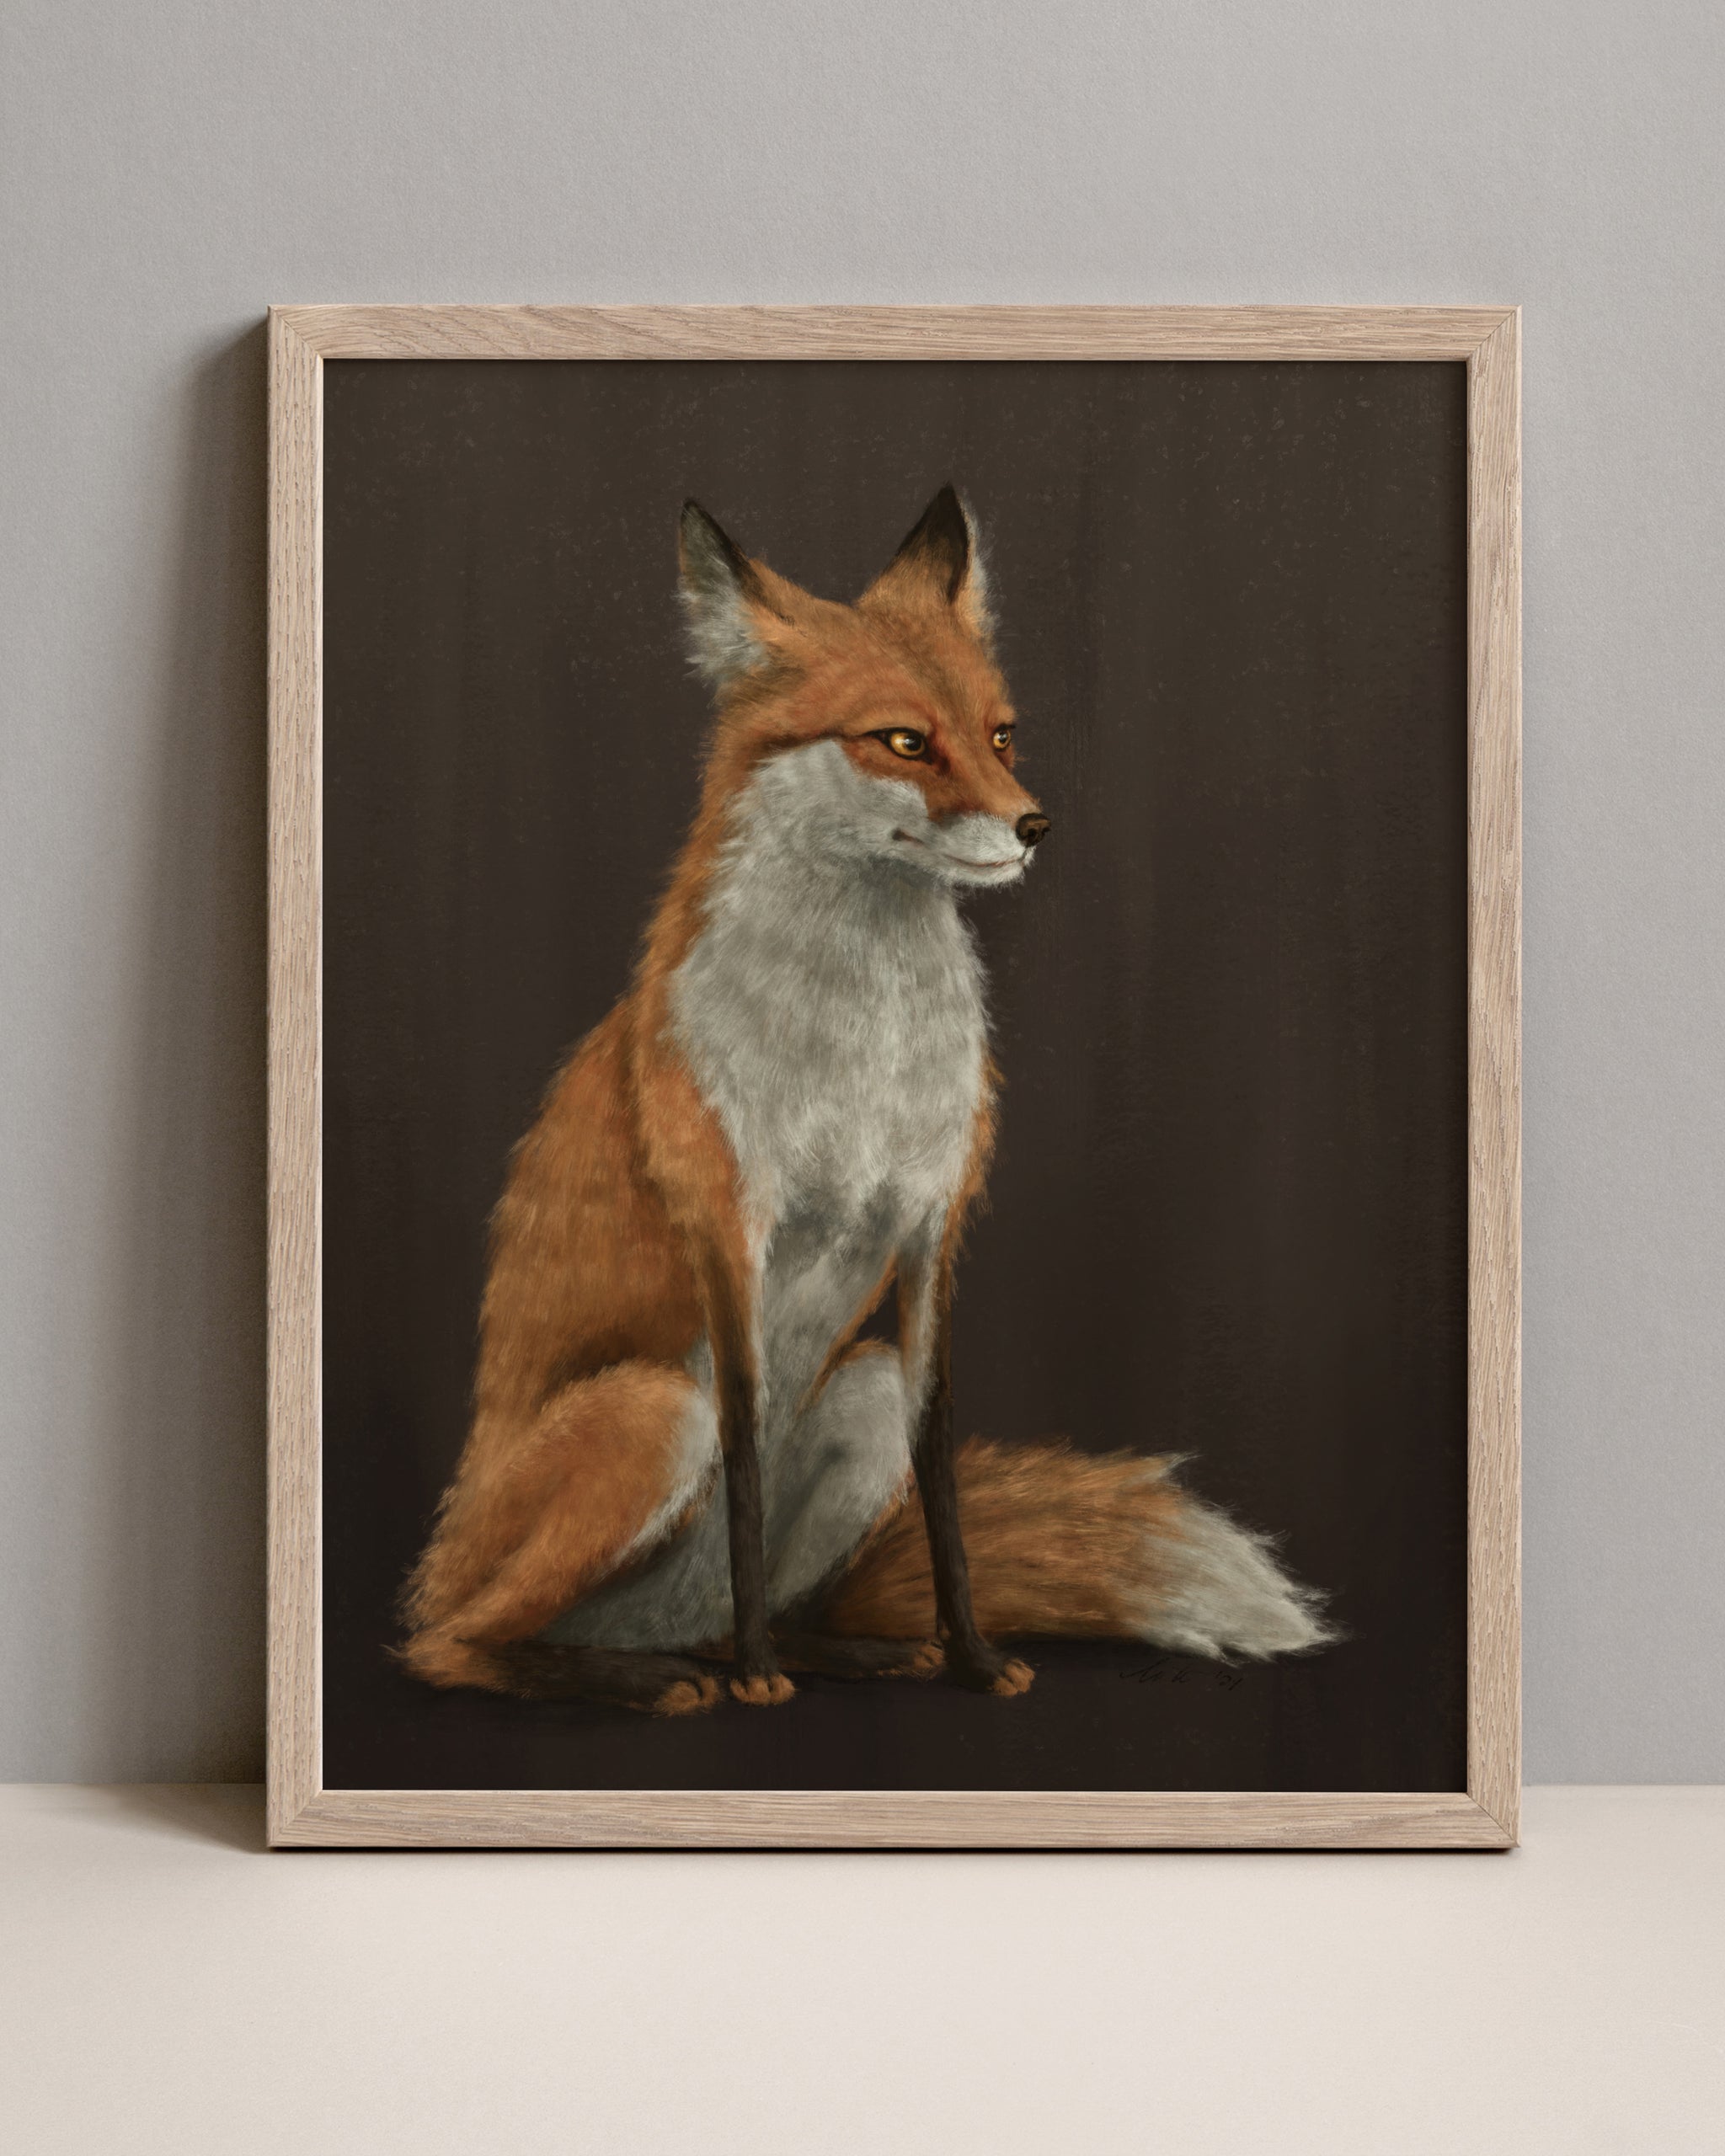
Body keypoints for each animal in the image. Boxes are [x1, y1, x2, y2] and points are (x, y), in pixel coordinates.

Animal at [399, 485, 1330, 1715]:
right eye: (902, 740)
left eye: (1000, 734)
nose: (1035, 826)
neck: (864, 1055)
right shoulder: (729, 1229)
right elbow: (746, 1459)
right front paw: (761, 1680)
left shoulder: (933, 1227)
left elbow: (940, 1477)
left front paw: (971, 1657)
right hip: (650, 1413)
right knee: (453, 1645)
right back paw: (658, 1676)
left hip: (860, 1391)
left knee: (729, 1605)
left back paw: (834, 1651)